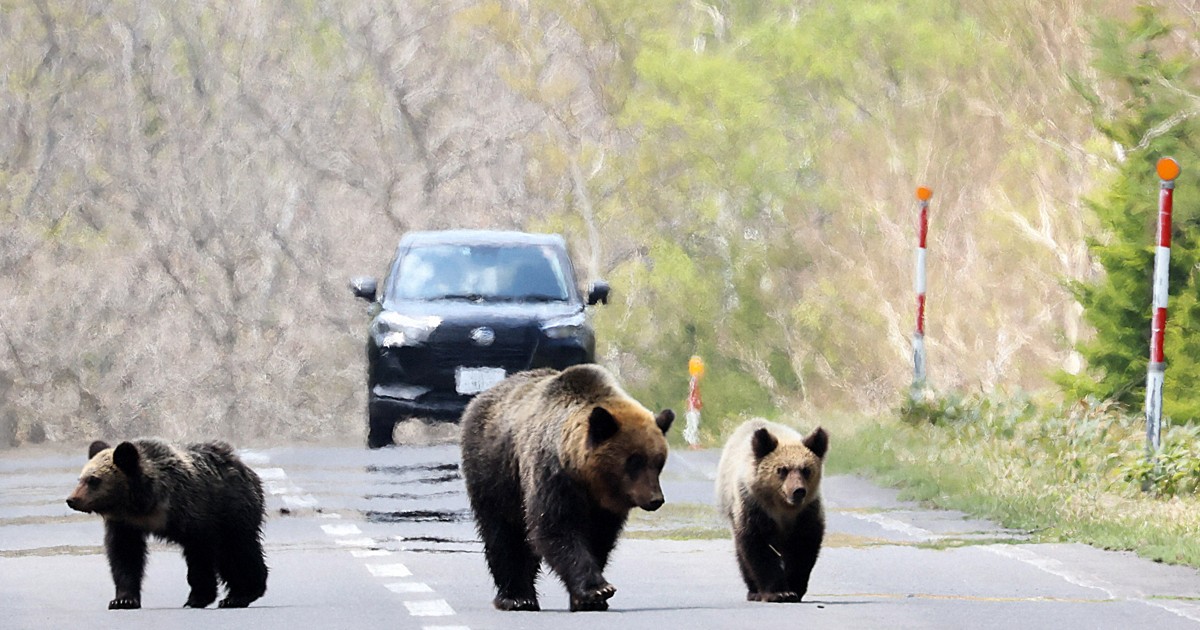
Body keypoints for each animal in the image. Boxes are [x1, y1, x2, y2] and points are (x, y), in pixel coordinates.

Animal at [65, 438, 269, 610]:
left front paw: (197, 597)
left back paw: (240, 595)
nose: (72, 499)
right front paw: (123, 600)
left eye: (93, 480)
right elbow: (124, 556)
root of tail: (245, 468)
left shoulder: (194, 514)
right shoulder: (125, 524)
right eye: (80, 478)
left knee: (238, 551)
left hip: (234, 510)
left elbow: (200, 554)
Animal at [459, 365, 674, 612]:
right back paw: (517, 597)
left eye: (658, 461)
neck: (588, 479)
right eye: (633, 461)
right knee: (503, 533)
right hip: (494, 472)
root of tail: (478, 400)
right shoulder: (553, 475)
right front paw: (597, 589)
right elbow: (557, 527)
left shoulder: (603, 508)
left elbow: (599, 537)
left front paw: (587, 598)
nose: (655, 499)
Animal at [715, 418, 829, 603]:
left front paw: (794, 588)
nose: (798, 491)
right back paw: (753, 591)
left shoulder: (806, 512)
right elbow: (758, 547)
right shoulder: (754, 506)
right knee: (742, 554)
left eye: (806, 469)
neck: (782, 507)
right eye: (782, 469)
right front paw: (779, 592)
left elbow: (804, 545)